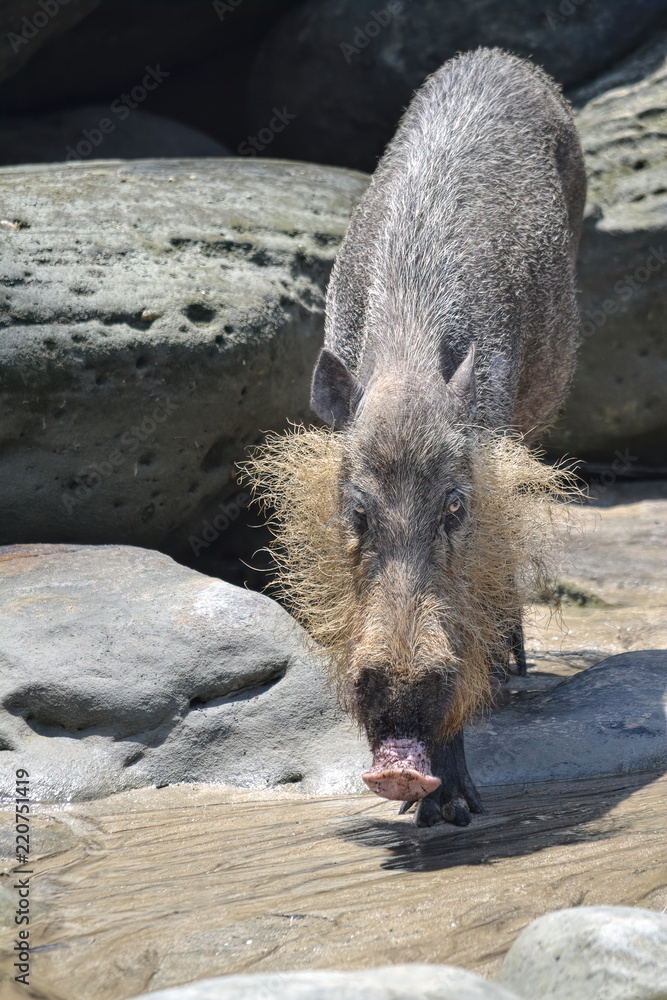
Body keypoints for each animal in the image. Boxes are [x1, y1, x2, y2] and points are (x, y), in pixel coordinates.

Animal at [247, 48, 585, 827]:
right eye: (357, 511)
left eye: (455, 509)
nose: (400, 769)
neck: (405, 363)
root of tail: (500, 59)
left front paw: (456, 809)